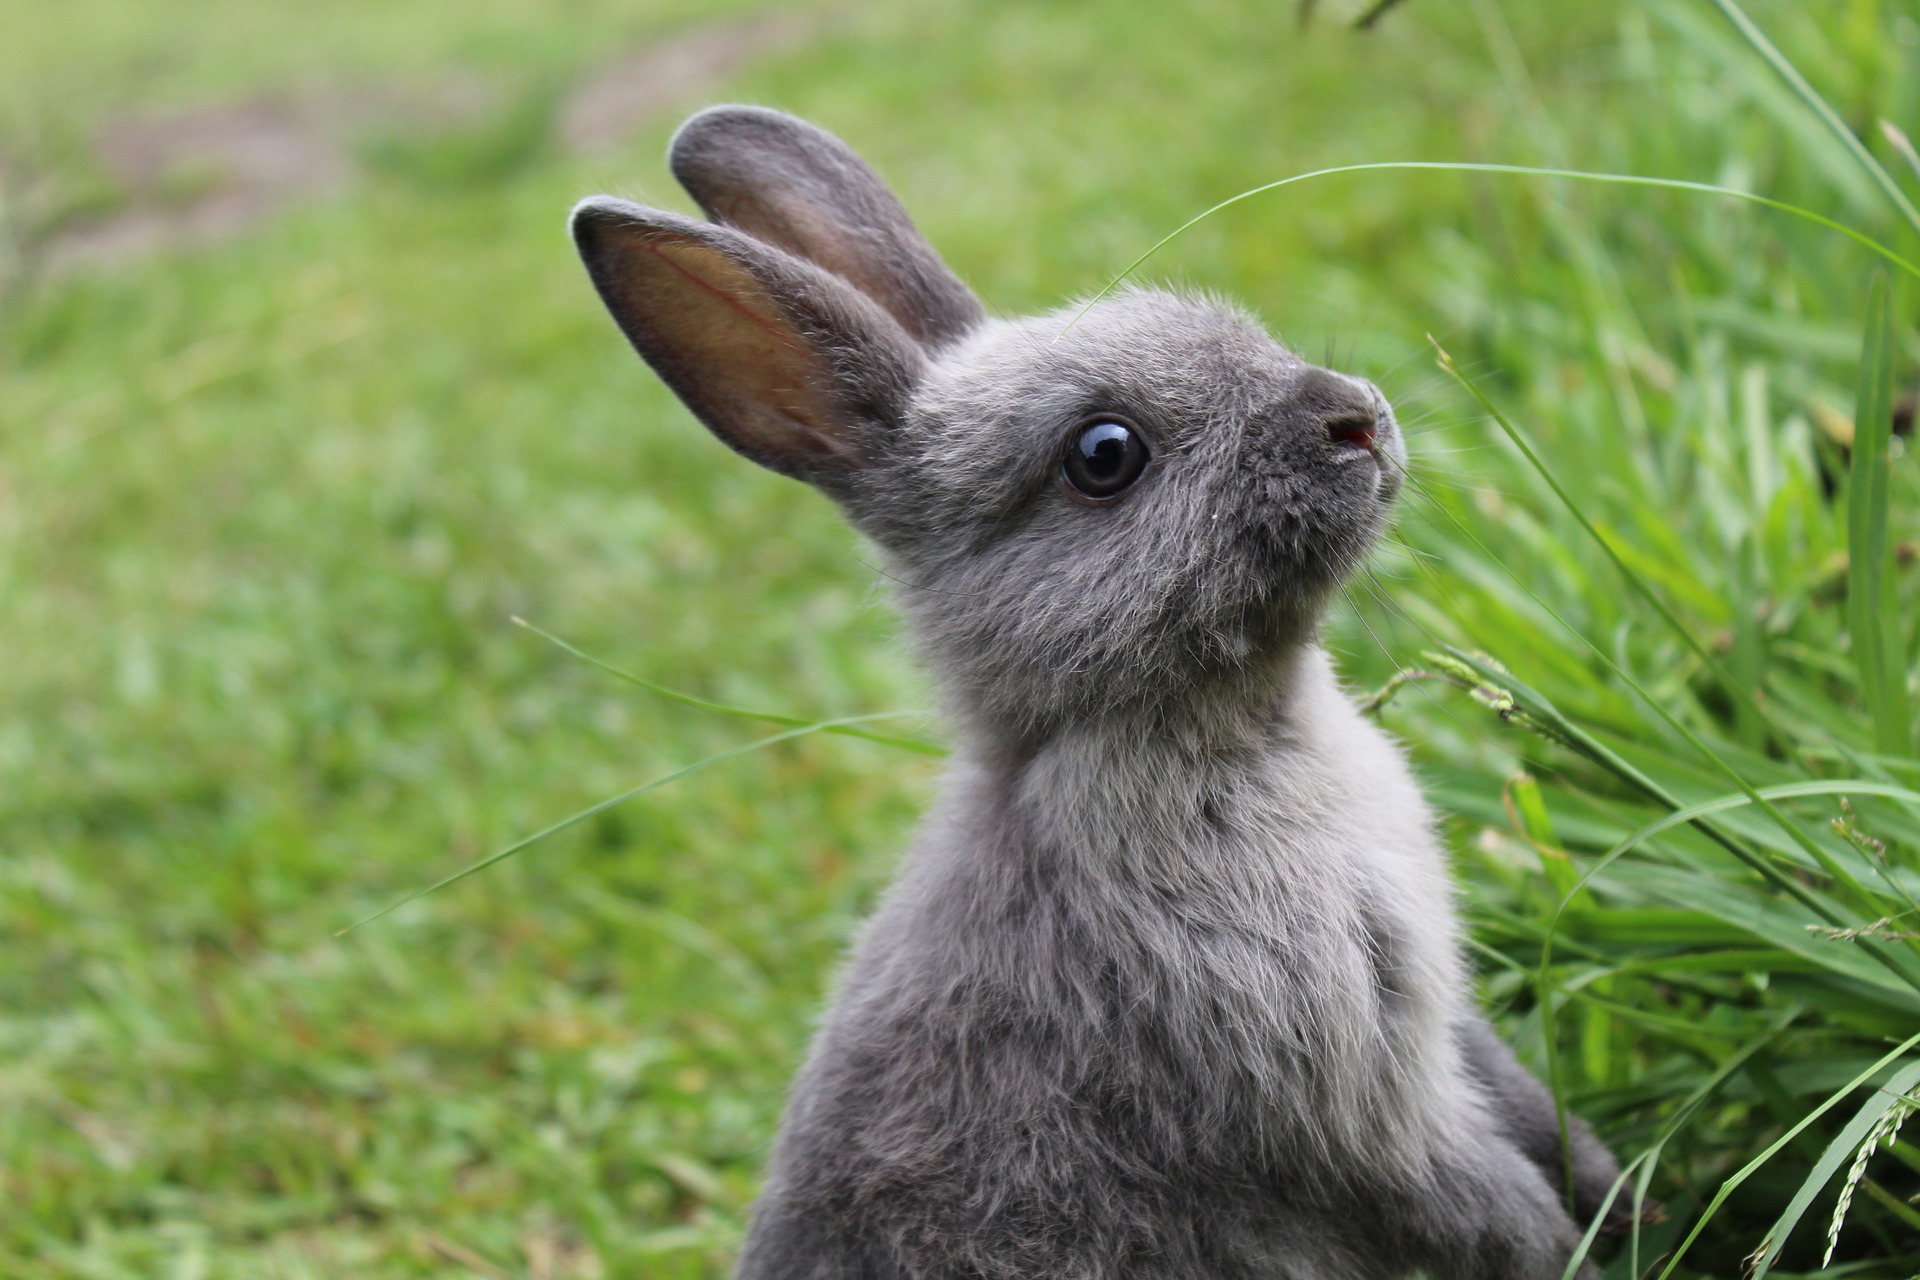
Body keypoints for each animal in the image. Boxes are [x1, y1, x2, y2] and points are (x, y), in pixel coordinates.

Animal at [570, 105, 1626, 1280]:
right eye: (1105, 454)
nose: (1356, 418)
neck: (1225, 725)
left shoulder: (1433, 1030)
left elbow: (1524, 1105)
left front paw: (1619, 1190)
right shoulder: (1356, 1101)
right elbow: (1479, 1201)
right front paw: (1582, 1244)